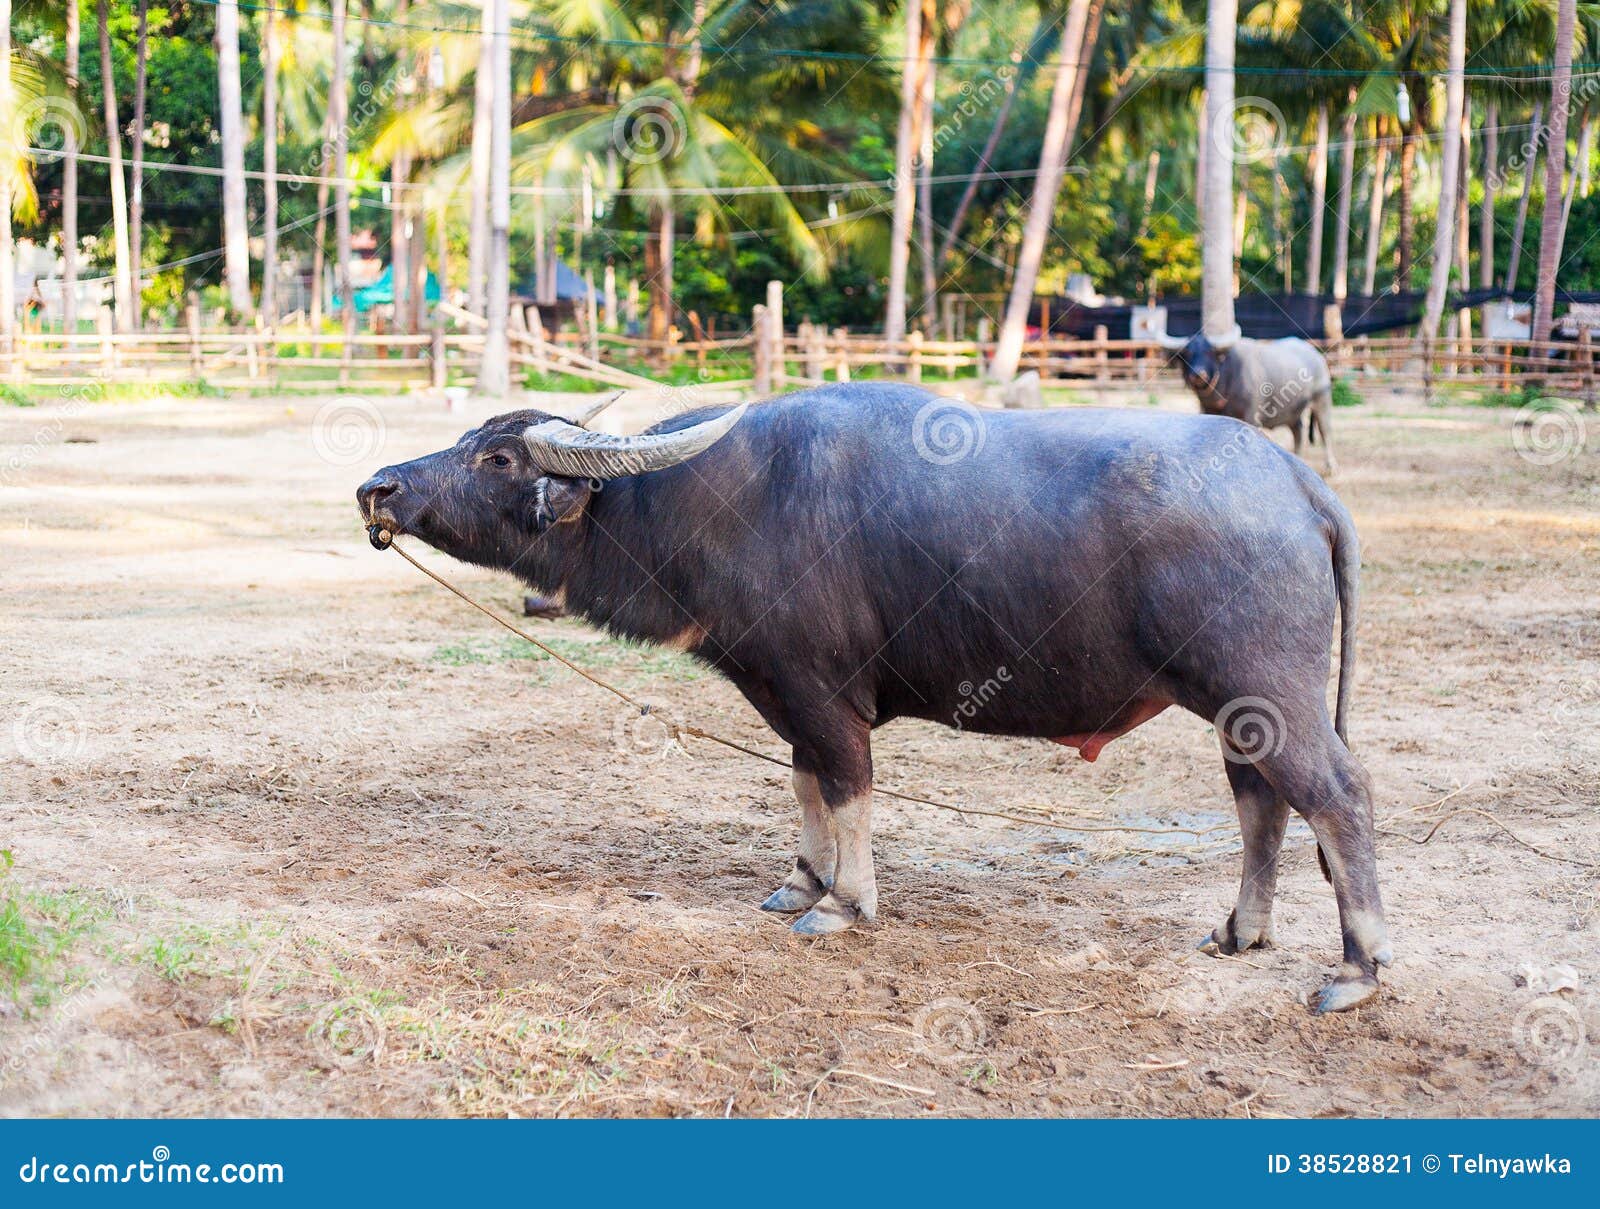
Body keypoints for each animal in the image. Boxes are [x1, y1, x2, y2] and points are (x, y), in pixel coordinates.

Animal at [357, 384, 1389, 1012]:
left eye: (498, 459)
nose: (380, 487)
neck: (713, 500)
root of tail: (1300, 485)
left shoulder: (825, 692)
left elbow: (849, 786)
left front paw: (845, 902)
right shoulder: (781, 690)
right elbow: (807, 785)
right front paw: (800, 880)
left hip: (1266, 687)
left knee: (1336, 795)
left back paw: (1357, 968)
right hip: (1239, 708)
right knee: (1262, 804)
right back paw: (1240, 931)